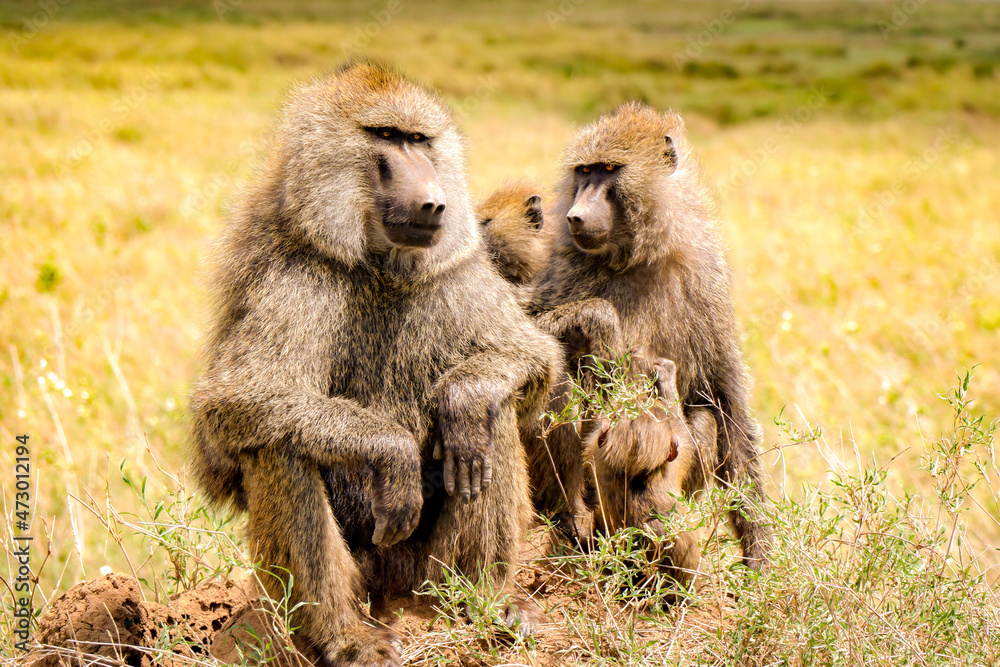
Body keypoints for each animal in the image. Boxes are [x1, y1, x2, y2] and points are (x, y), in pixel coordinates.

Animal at [528, 101, 771, 569]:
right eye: (583, 171)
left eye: (608, 169)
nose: (574, 215)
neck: (640, 255)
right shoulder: (564, 263)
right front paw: (603, 324)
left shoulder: (704, 275)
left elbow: (726, 400)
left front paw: (762, 559)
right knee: (556, 373)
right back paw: (573, 515)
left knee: (703, 416)